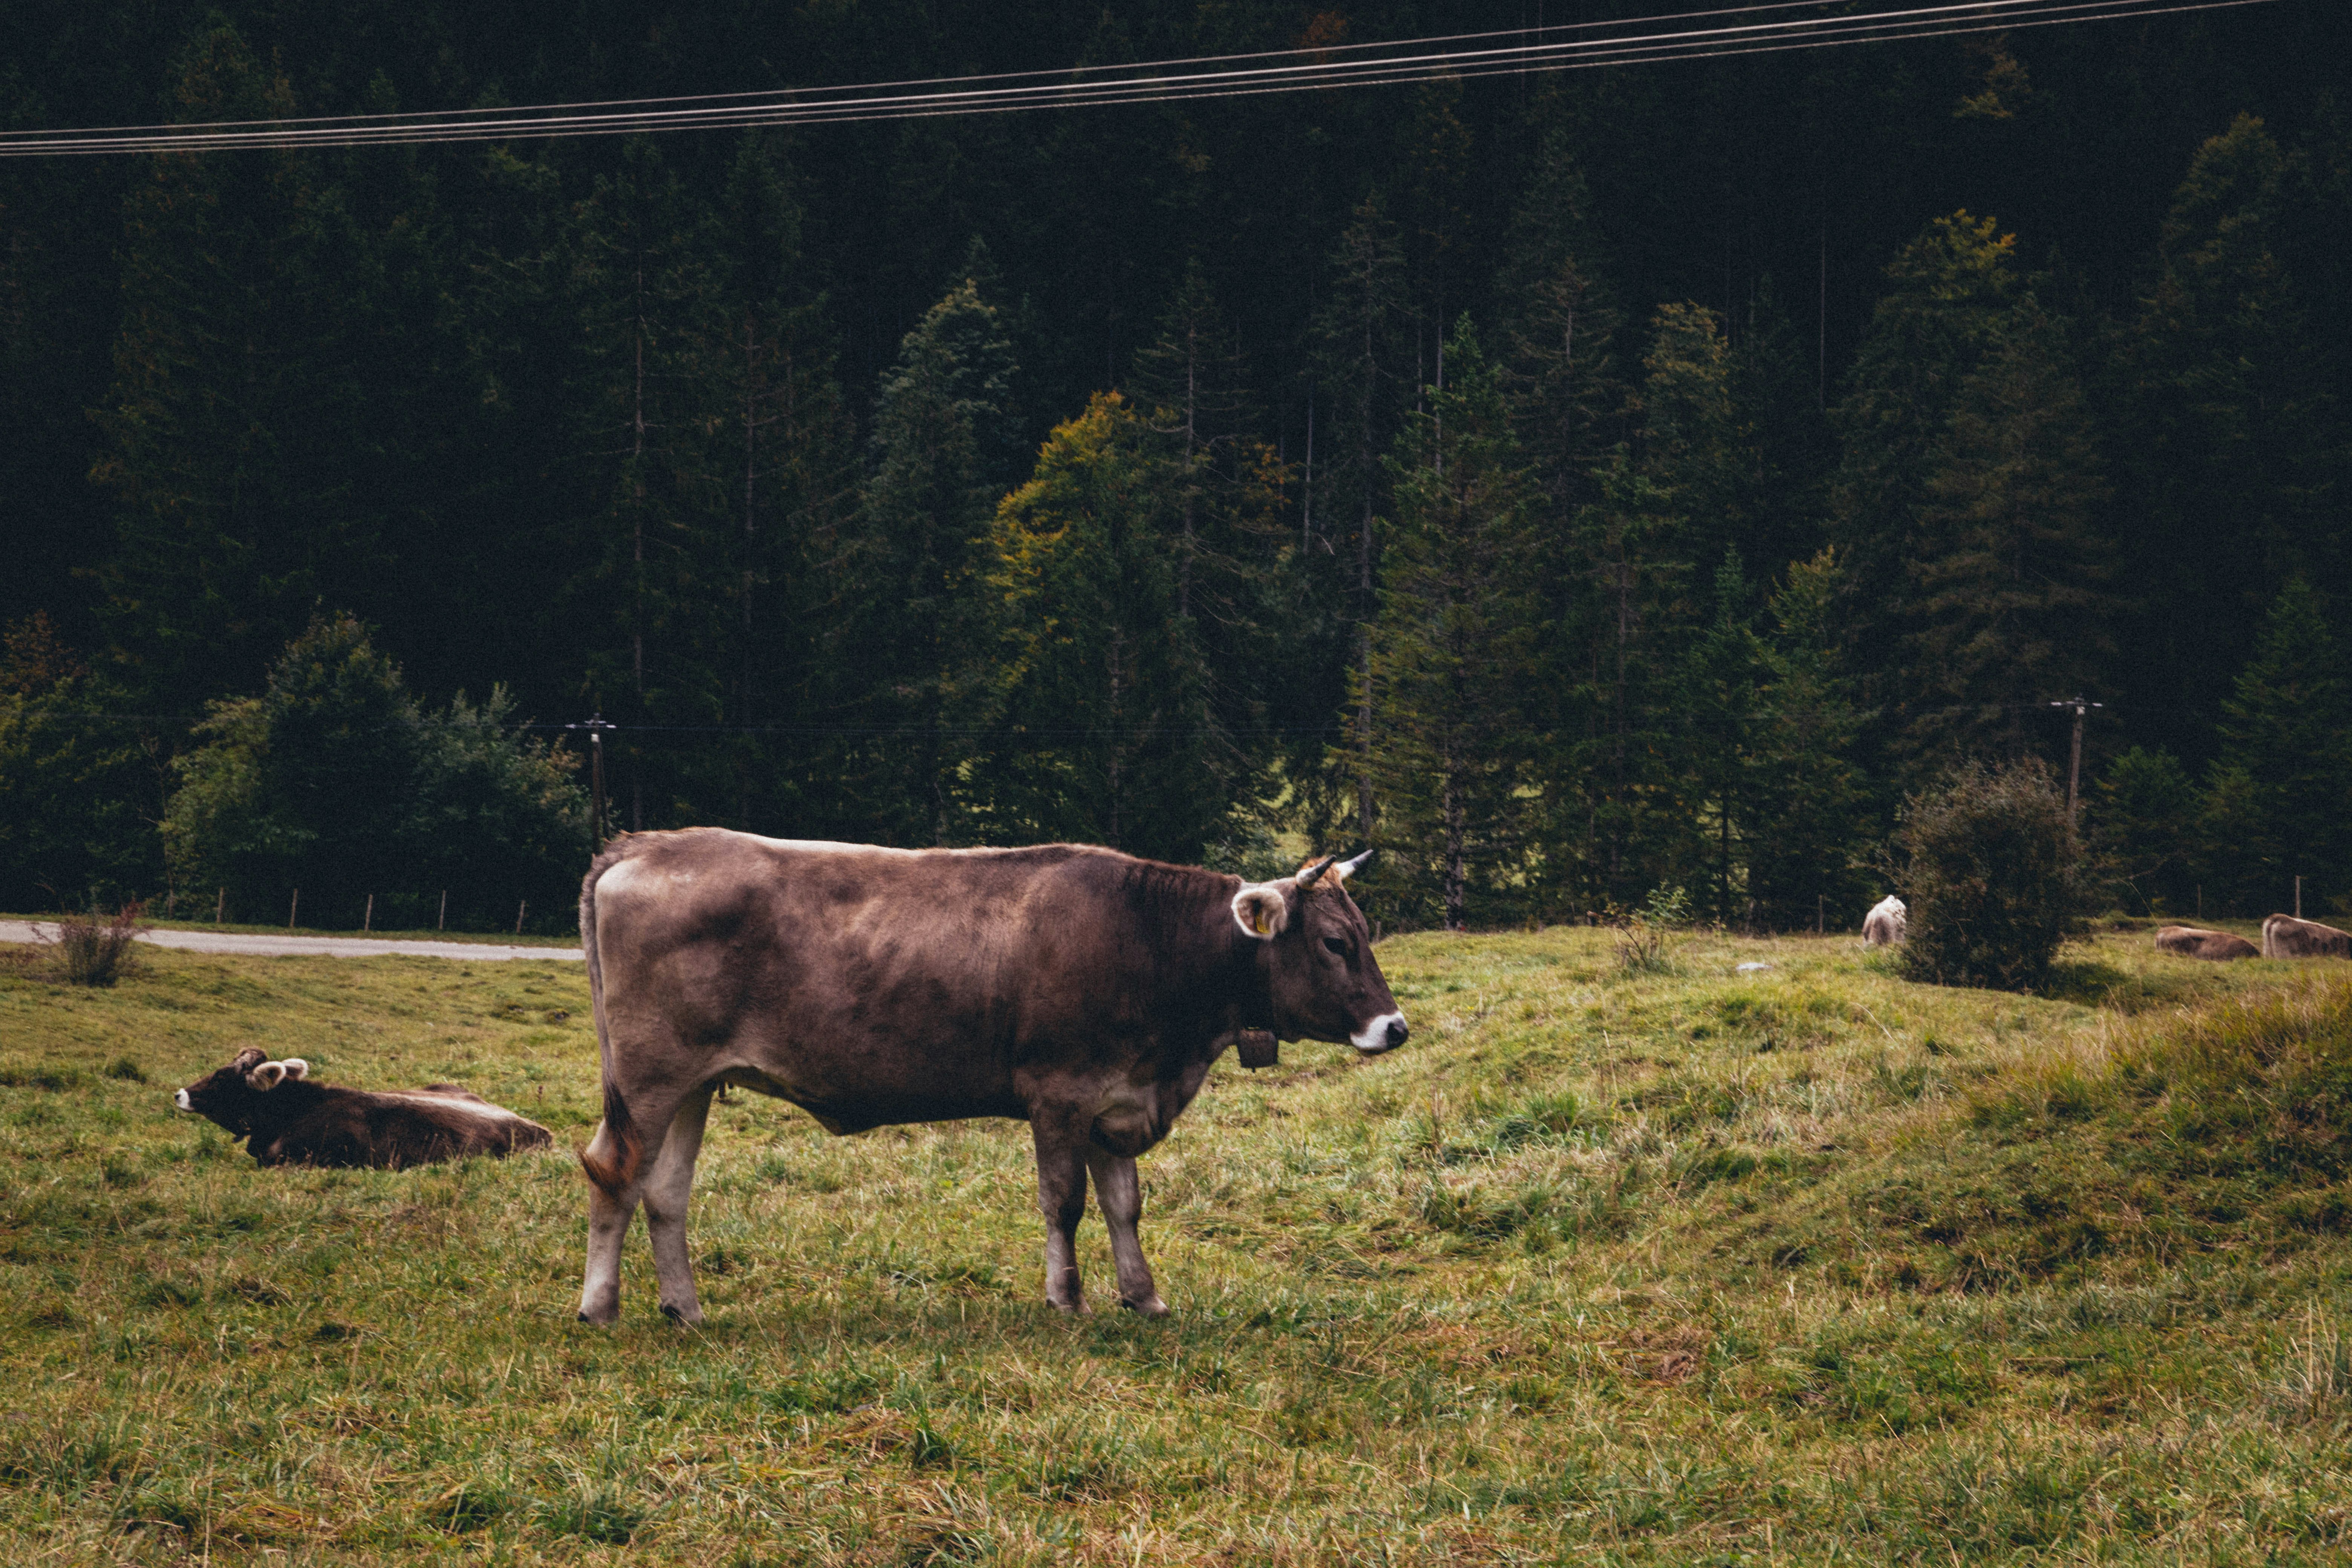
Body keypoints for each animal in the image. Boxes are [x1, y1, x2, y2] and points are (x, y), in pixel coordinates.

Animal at [574, 832, 1408, 1326]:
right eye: (1335, 942)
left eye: (1365, 933)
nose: (1394, 1026)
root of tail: (646, 844)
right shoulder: (1060, 1093)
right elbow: (1065, 1202)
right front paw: (1066, 1299)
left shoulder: (1116, 1097)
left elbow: (1125, 1205)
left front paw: (1143, 1296)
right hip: (649, 1076)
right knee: (615, 1171)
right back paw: (601, 1306)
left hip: (691, 1084)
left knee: (665, 1191)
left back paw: (684, 1307)